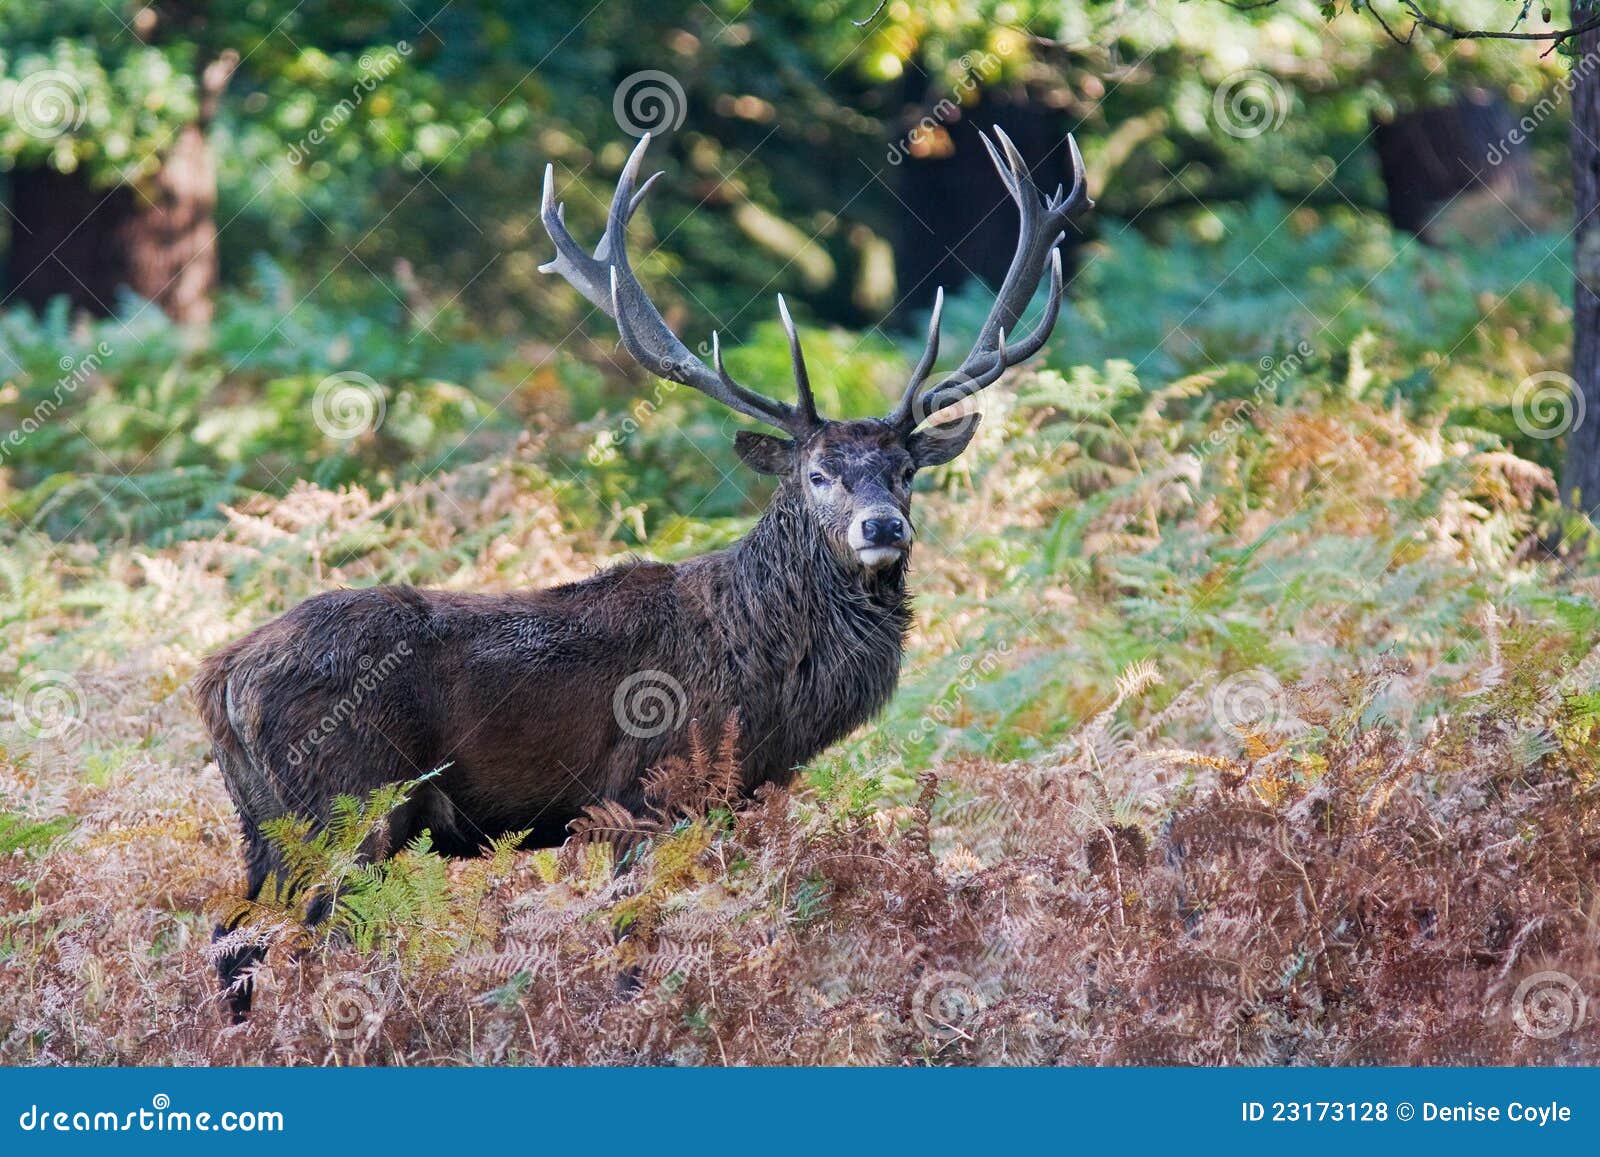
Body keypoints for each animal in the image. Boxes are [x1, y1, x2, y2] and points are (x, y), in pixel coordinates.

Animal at [195, 128, 1091, 1017]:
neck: (767, 681)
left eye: (906, 470)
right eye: (817, 473)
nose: (883, 526)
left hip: (265, 821)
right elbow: (634, 943)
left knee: (231, 936)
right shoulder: (652, 796)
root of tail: (222, 675)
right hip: (346, 807)